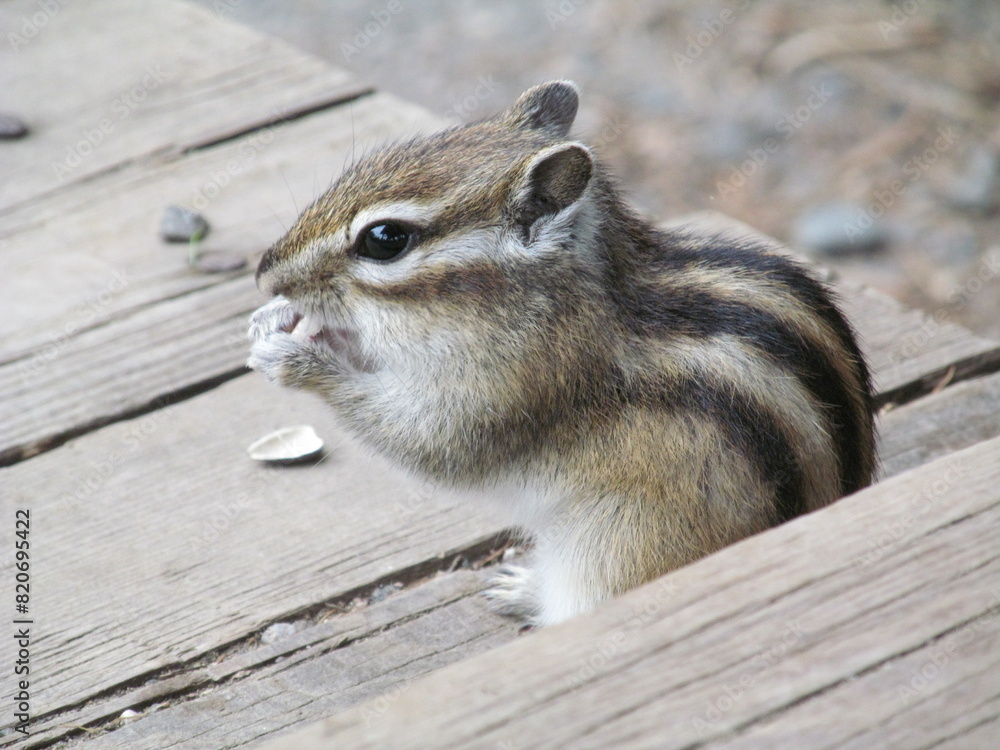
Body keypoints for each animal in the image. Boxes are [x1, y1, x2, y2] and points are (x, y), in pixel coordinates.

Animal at [248, 81, 876, 627]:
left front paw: (300, 361)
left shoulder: (517, 382)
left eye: (385, 239)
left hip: (613, 557)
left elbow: (431, 444)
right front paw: (276, 321)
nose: (263, 273)